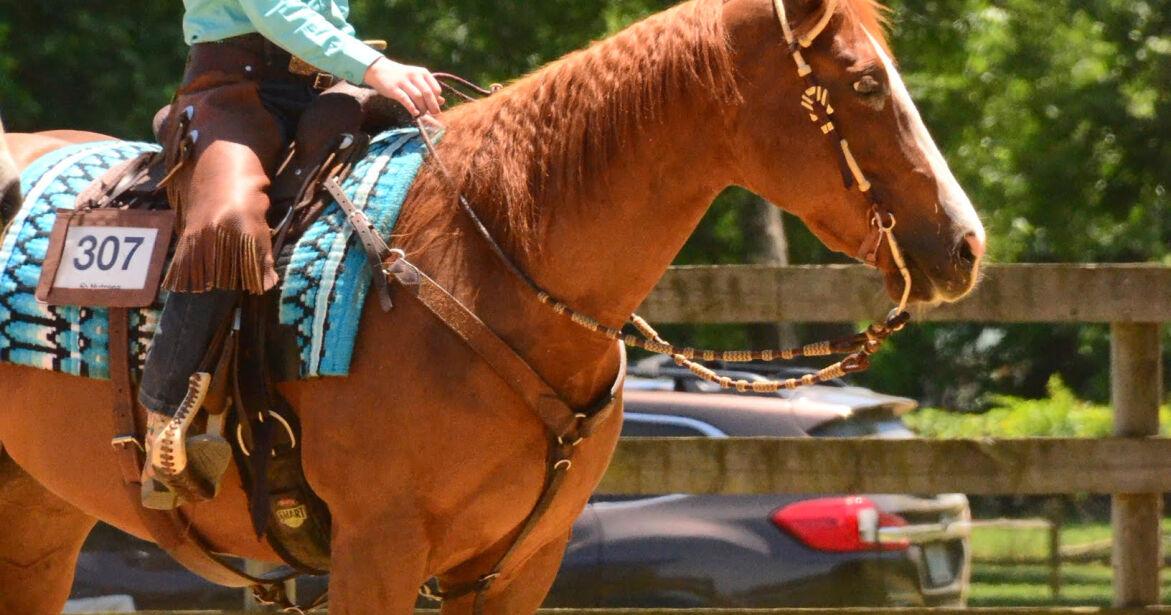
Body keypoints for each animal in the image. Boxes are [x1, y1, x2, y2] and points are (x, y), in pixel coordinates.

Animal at [0, 0, 984, 612]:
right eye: (864, 82)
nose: (964, 244)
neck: (486, 256)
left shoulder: (514, 566)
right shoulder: (376, 553)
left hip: (40, 519)